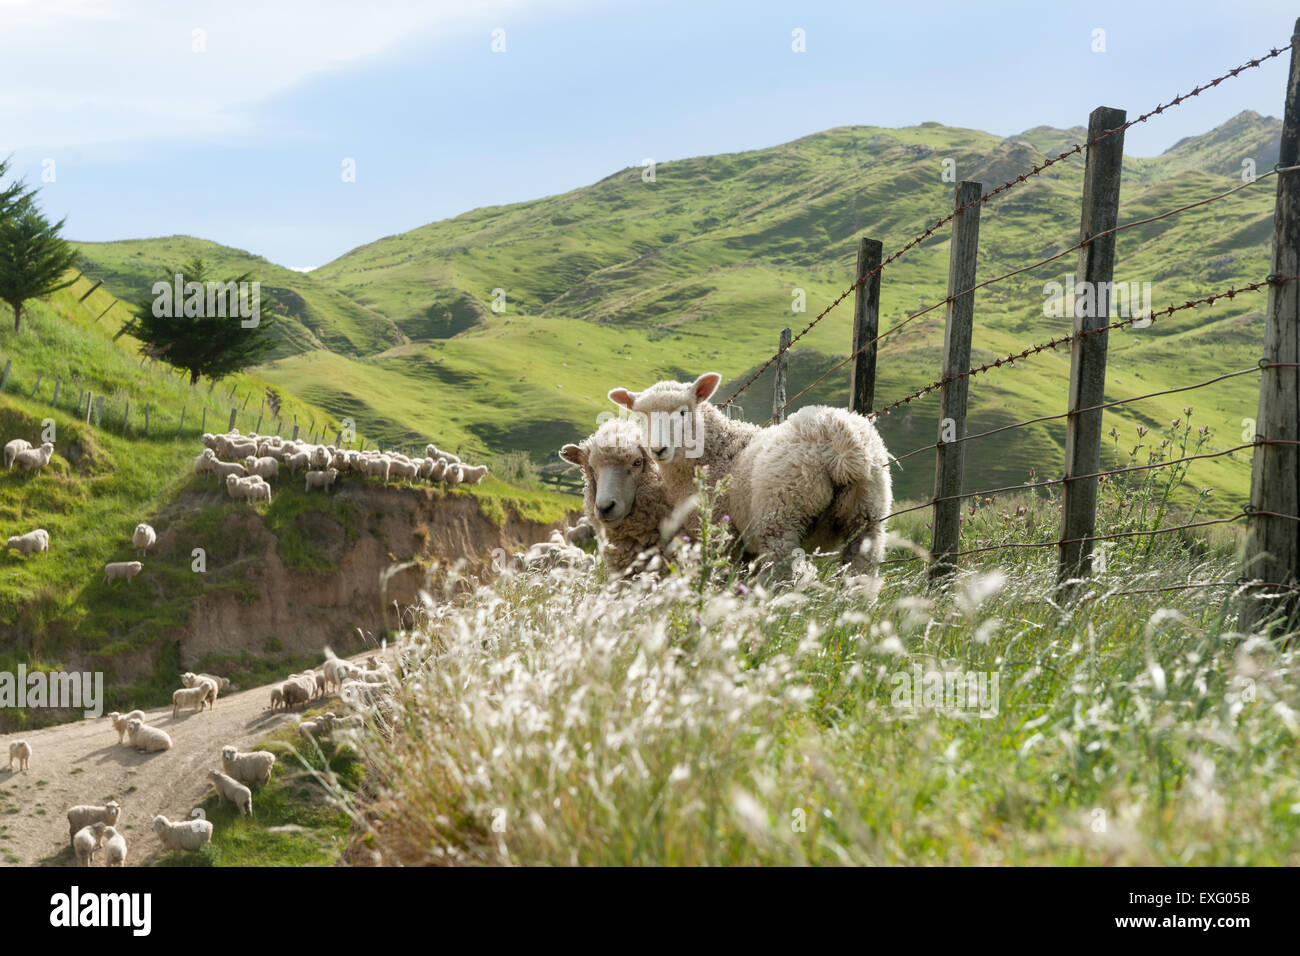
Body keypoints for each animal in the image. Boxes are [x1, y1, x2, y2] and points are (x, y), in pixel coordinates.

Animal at [609, 372, 893, 577]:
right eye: (640, 416)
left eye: (683, 411)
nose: (658, 449)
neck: (717, 450)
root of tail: (838, 437)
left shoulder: (720, 529)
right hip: (867, 512)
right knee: (862, 568)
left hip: (781, 513)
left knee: (783, 571)